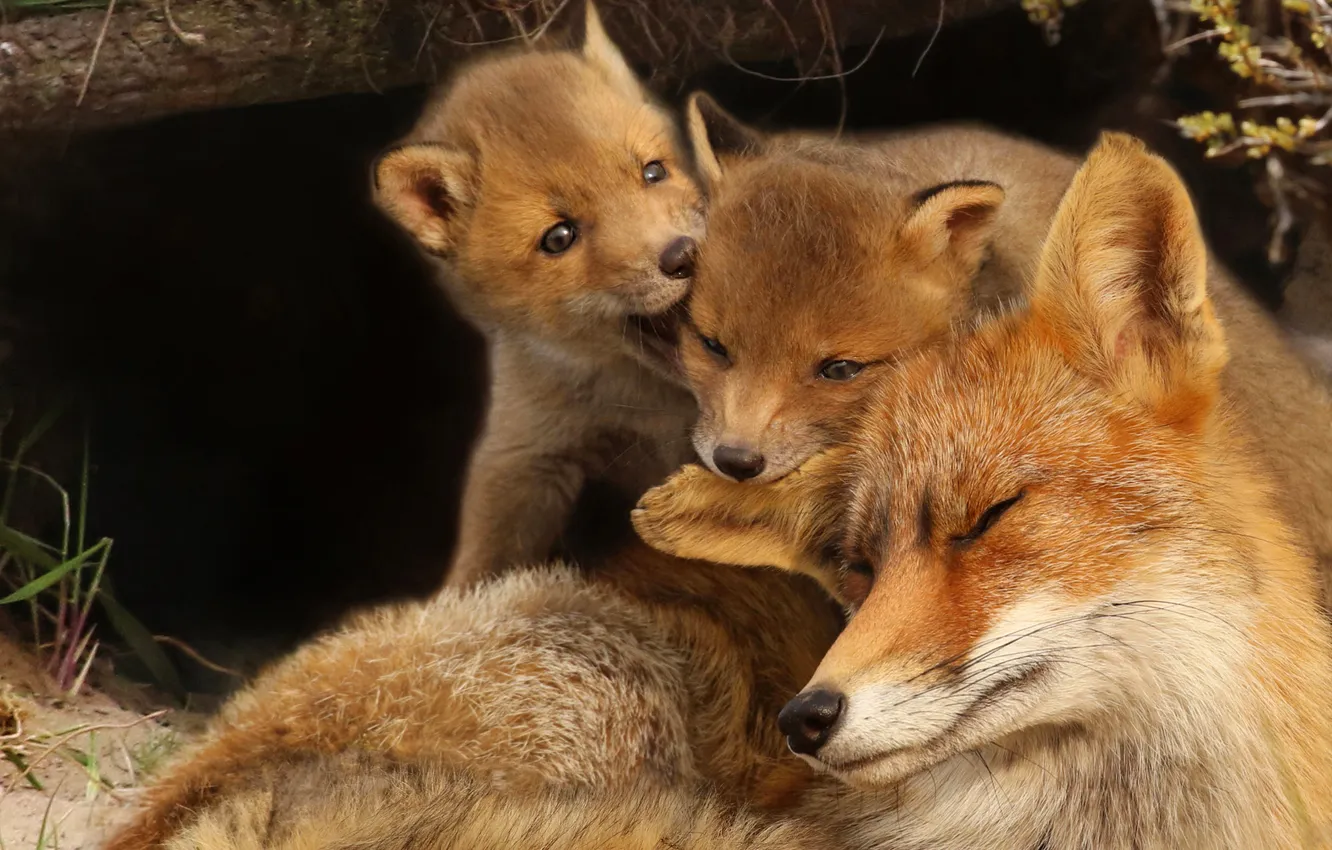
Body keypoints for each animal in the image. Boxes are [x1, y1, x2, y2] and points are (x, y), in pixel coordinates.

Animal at [373, 1, 702, 589]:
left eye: (652, 171)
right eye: (559, 237)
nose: (683, 255)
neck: (653, 406)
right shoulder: (526, 451)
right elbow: (481, 564)